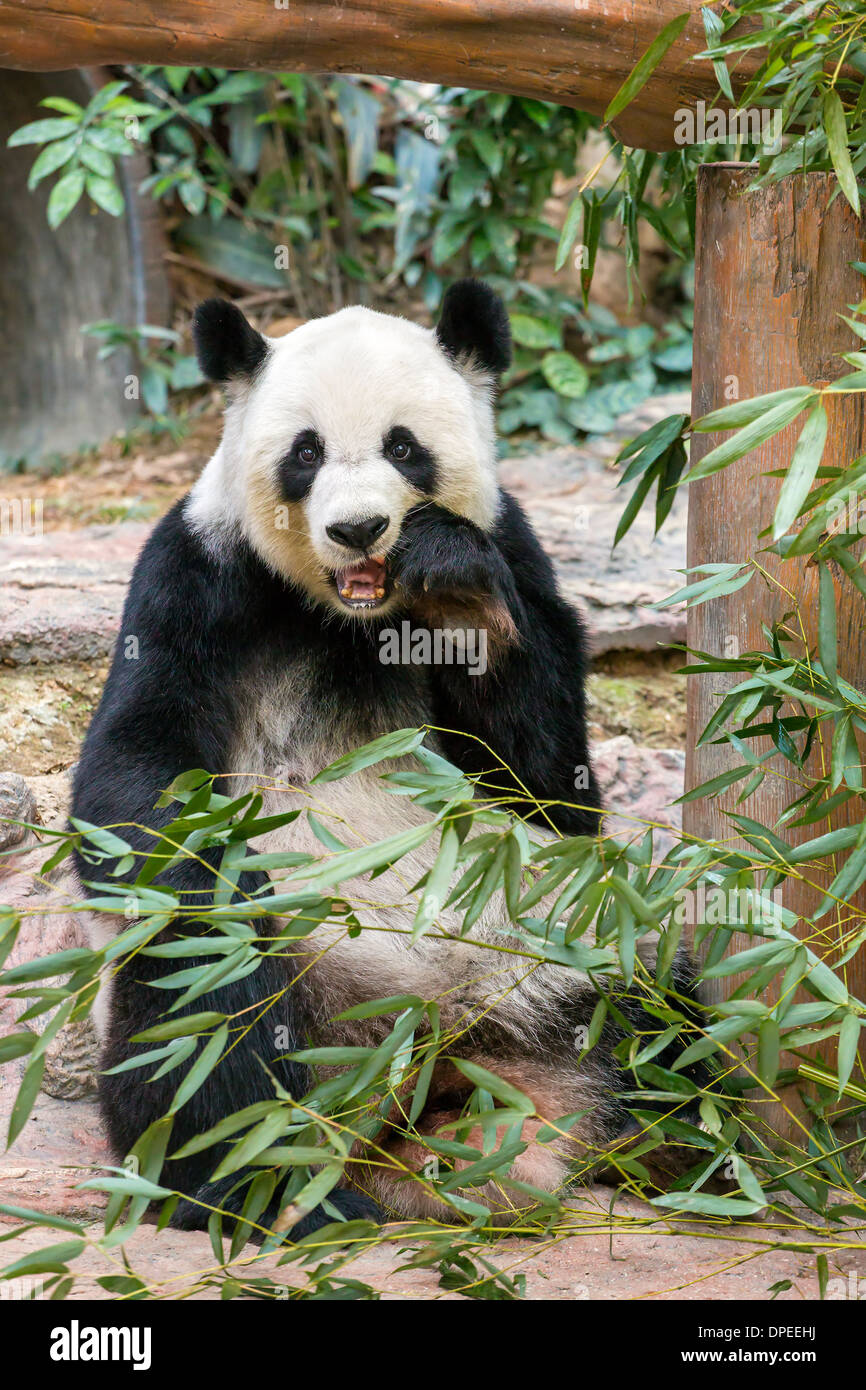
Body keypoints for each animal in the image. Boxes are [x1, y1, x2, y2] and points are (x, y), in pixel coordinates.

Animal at [71, 280, 697, 1240]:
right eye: (306, 452)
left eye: (404, 447)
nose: (360, 528)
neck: (353, 617)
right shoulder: (199, 573)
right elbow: (135, 771)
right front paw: (218, 867)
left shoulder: (515, 550)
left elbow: (551, 790)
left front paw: (456, 595)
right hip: (301, 990)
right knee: (203, 1020)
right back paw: (271, 1192)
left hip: (562, 941)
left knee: (678, 985)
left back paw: (693, 1148)